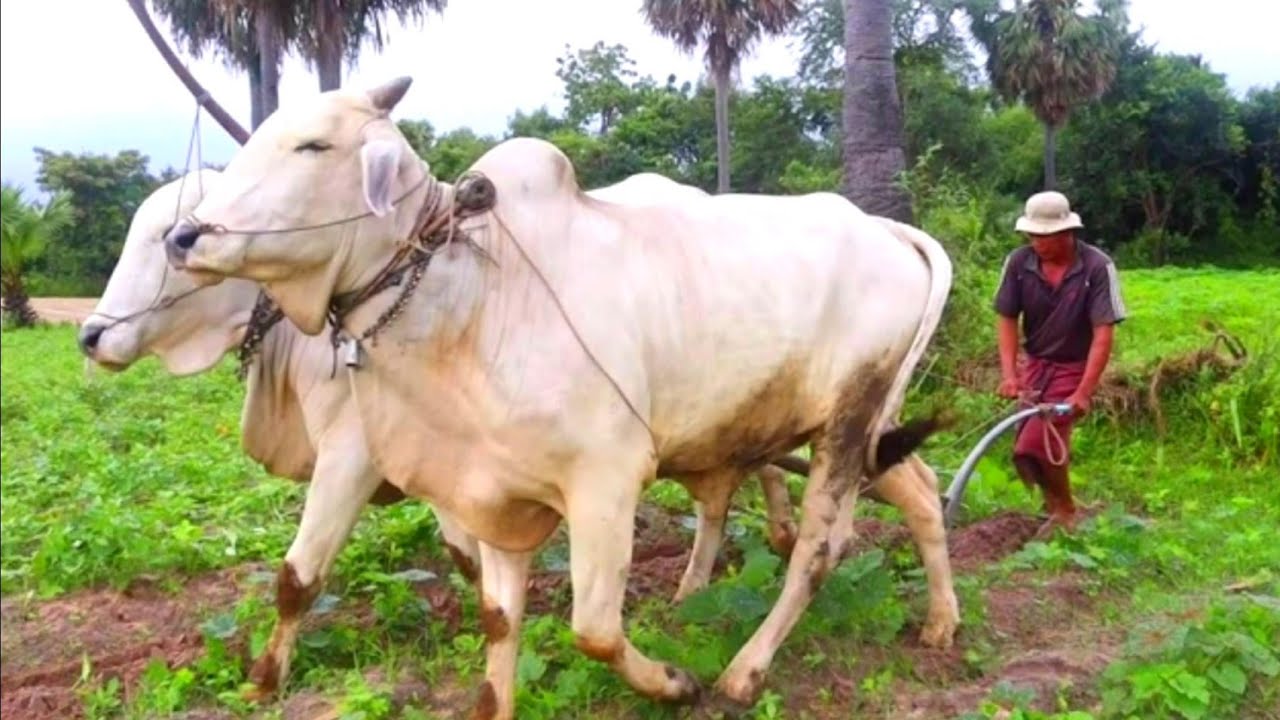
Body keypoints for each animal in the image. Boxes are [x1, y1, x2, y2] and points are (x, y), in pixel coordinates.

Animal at [161, 77, 954, 717]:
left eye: (313, 145)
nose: (184, 236)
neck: (472, 301)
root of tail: (886, 230)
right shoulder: (489, 493)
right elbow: (497, 622)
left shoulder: (606, 484)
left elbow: (595, 631)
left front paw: (675, 682)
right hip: (848, 430)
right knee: (918, 487)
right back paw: (941, 622)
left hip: (849, 420)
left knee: (819, 547)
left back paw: (742, 672)